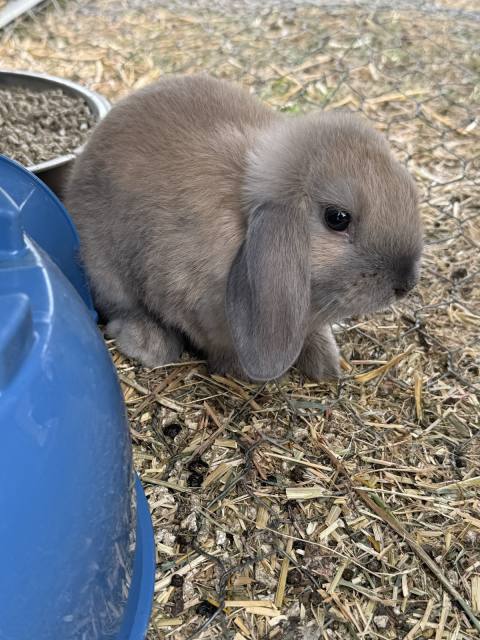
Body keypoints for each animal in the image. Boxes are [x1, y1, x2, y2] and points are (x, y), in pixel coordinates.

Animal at [65, 73, 422, 382]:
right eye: (337, 218)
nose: (405, 284)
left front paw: (326, 366)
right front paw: (241, 371)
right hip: (104, 270)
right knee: (120, 308)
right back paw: (150, 345)